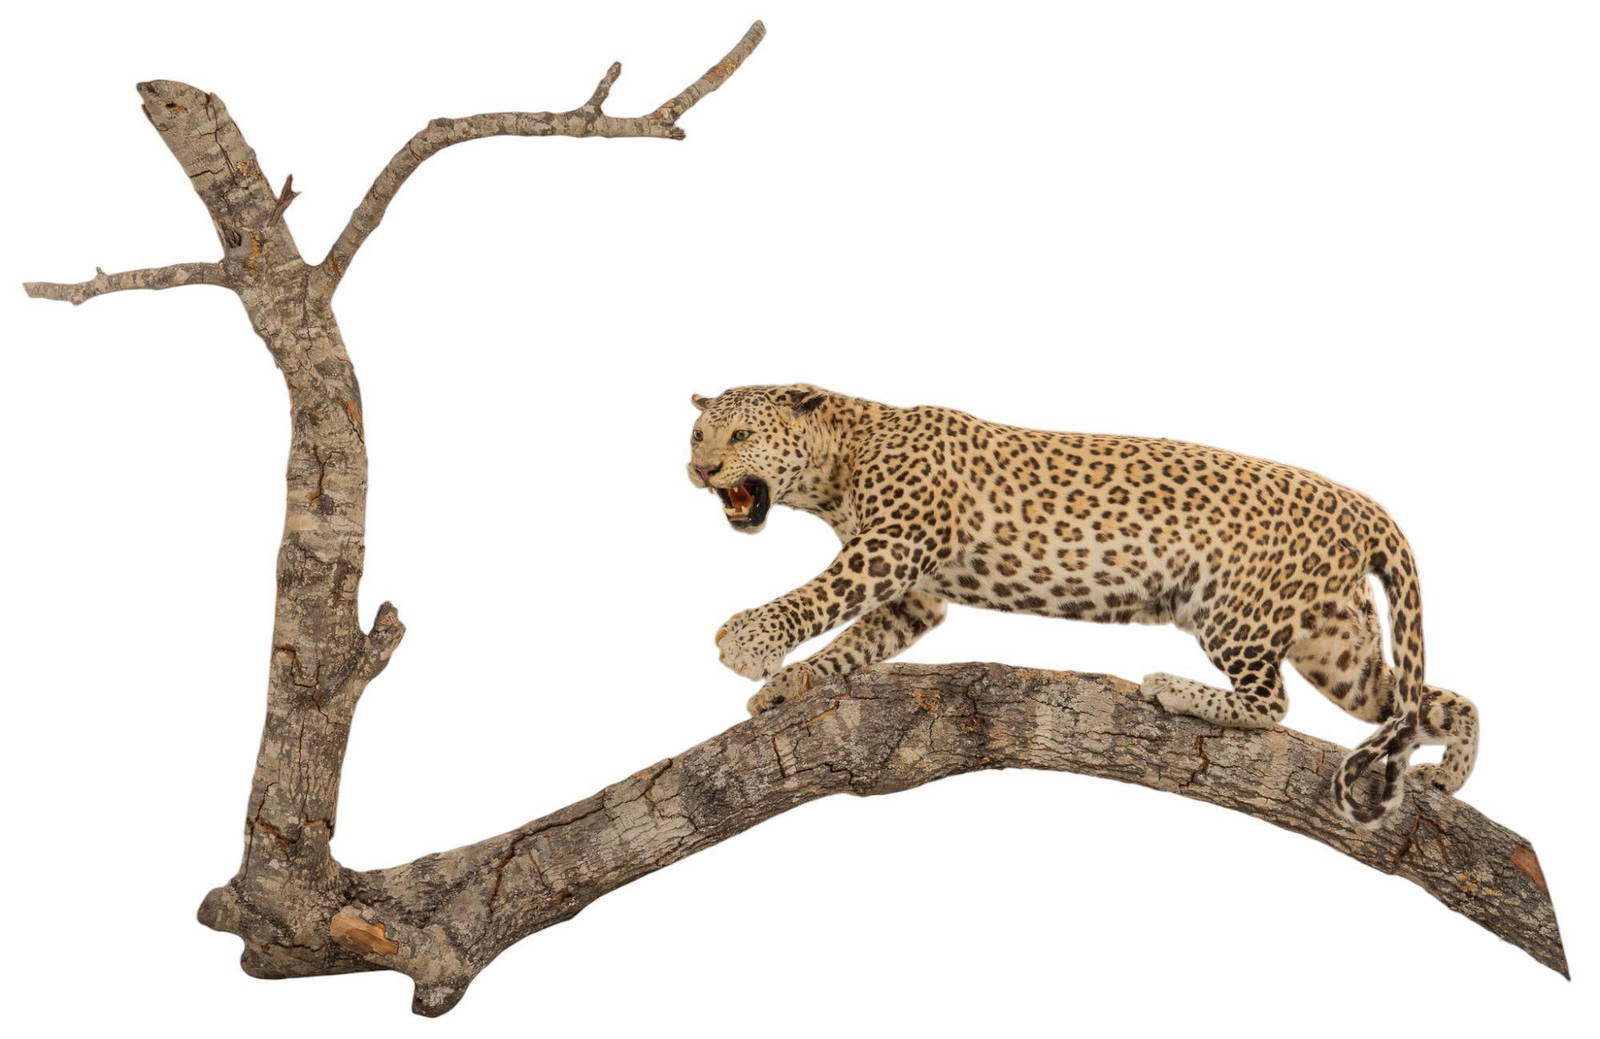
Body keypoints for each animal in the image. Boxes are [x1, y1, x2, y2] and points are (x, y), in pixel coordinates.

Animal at [687, 384, 1478, 826]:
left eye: (742, 434)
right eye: (697, 433)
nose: (700, 468)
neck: (838, 464)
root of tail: (1365, 508)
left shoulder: (896, 542)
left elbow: (819, 594)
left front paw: (750, 642)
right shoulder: (915, 597)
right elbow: (849, 641)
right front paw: (791, 681)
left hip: (1236, 611)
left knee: (1272, 702)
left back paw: (1174, 689)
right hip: (1338, 645)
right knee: (1440, 703)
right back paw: (1450, 775)